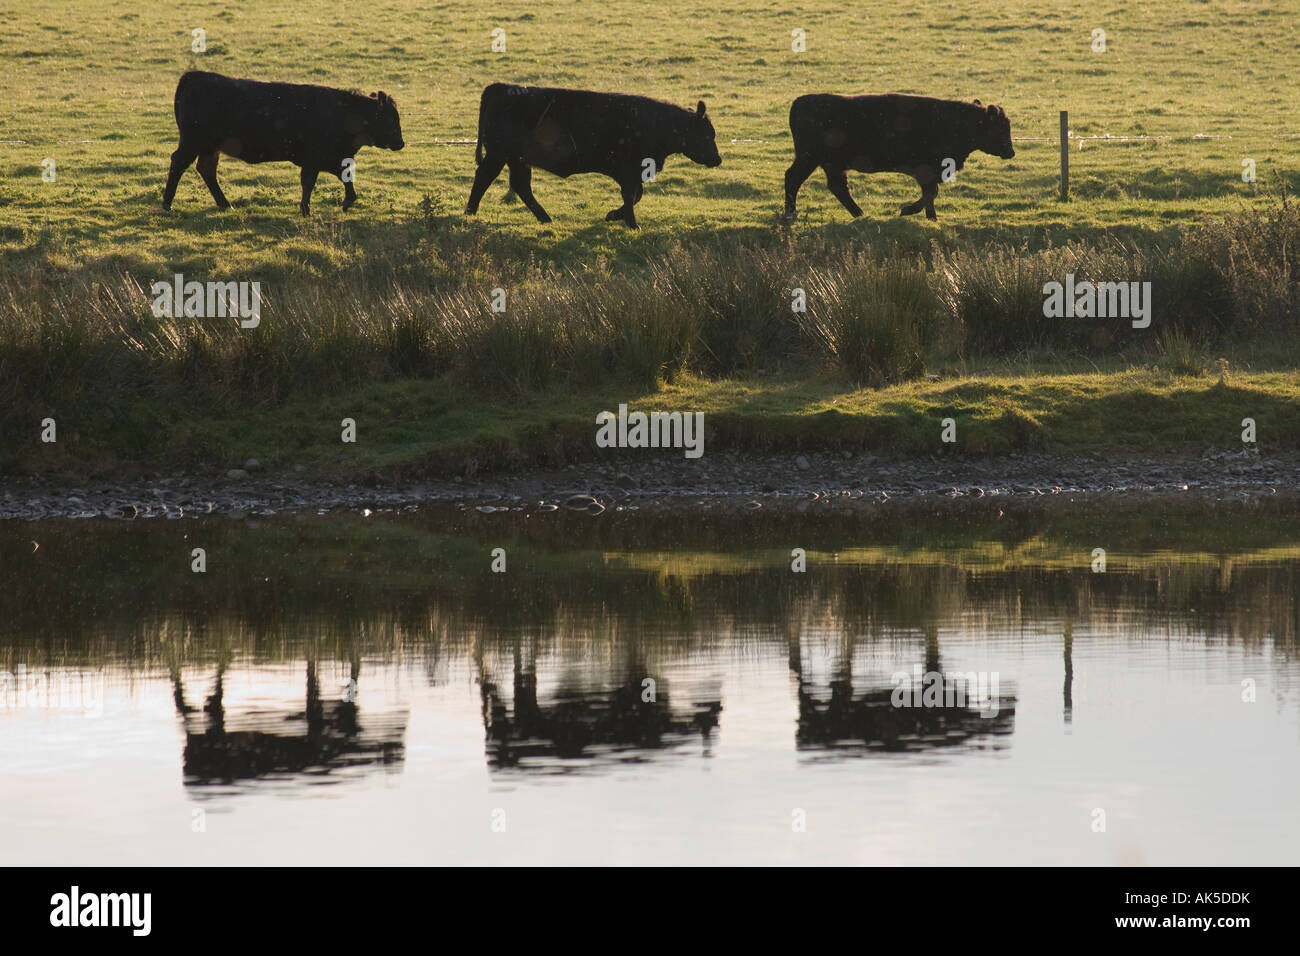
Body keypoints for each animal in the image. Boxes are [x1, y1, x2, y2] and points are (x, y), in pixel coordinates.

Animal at [161, 71, 404, 215]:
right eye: (391, 118)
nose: (401, 143)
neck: (344, 113)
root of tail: (195, 76)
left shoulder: (333, 158)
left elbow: (345, 178)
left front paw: (346, 201)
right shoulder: (315, 159)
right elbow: (309, 183)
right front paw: (306, 210)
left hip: (210, 147)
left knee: (206, 169)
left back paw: (224, 203)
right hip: (192, 142)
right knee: (179, 163)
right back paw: (167, 203)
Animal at [464, 83, 723, 229]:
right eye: (707, 135)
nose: (717, 159)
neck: (656, 123)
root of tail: (499, 87)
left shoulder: (633, 171)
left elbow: (636, 195)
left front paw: (615, 216)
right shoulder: (628, 168)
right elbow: (632, 195)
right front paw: (631, 223)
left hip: (517, 159)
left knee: (519, 185)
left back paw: (544, 218)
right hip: (499, 154)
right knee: (484, 177)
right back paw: (470, 213)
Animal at [783, 93, 1015, 221]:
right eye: (1001, 127)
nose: (1010, 152)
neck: (956, 122)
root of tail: (800, 102)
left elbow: (931, 193)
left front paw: (931, 217)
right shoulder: (926, 169)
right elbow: (931, 192)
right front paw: (909, 211)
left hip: (829, 164)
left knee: (837, 187)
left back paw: (859, 214)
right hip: (810, 158)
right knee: (794, 178)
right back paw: (790, 213)